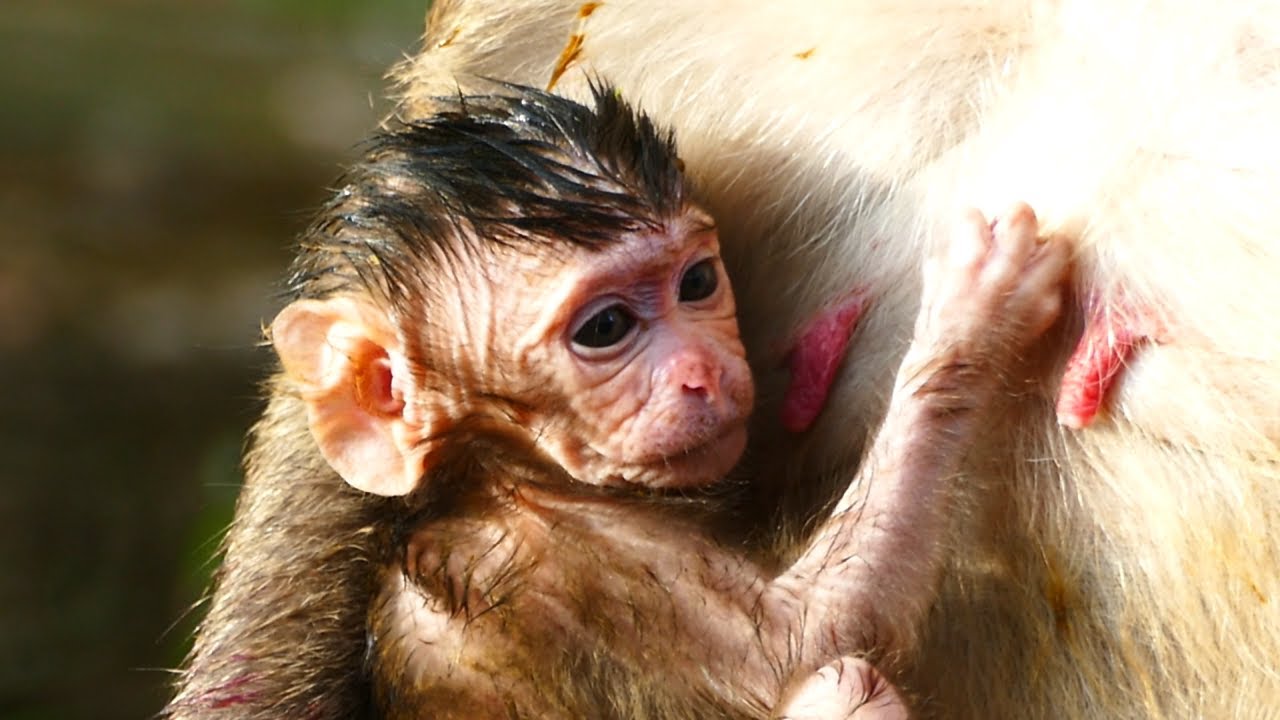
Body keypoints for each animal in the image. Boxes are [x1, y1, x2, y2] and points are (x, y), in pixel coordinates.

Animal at [165, 84, 1070, 719]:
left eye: (697, 283)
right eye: (605, 329)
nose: (702, 371)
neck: (511, 473)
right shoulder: (575, 563)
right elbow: (810, 637)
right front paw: (974, 315)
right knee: (840, 682)